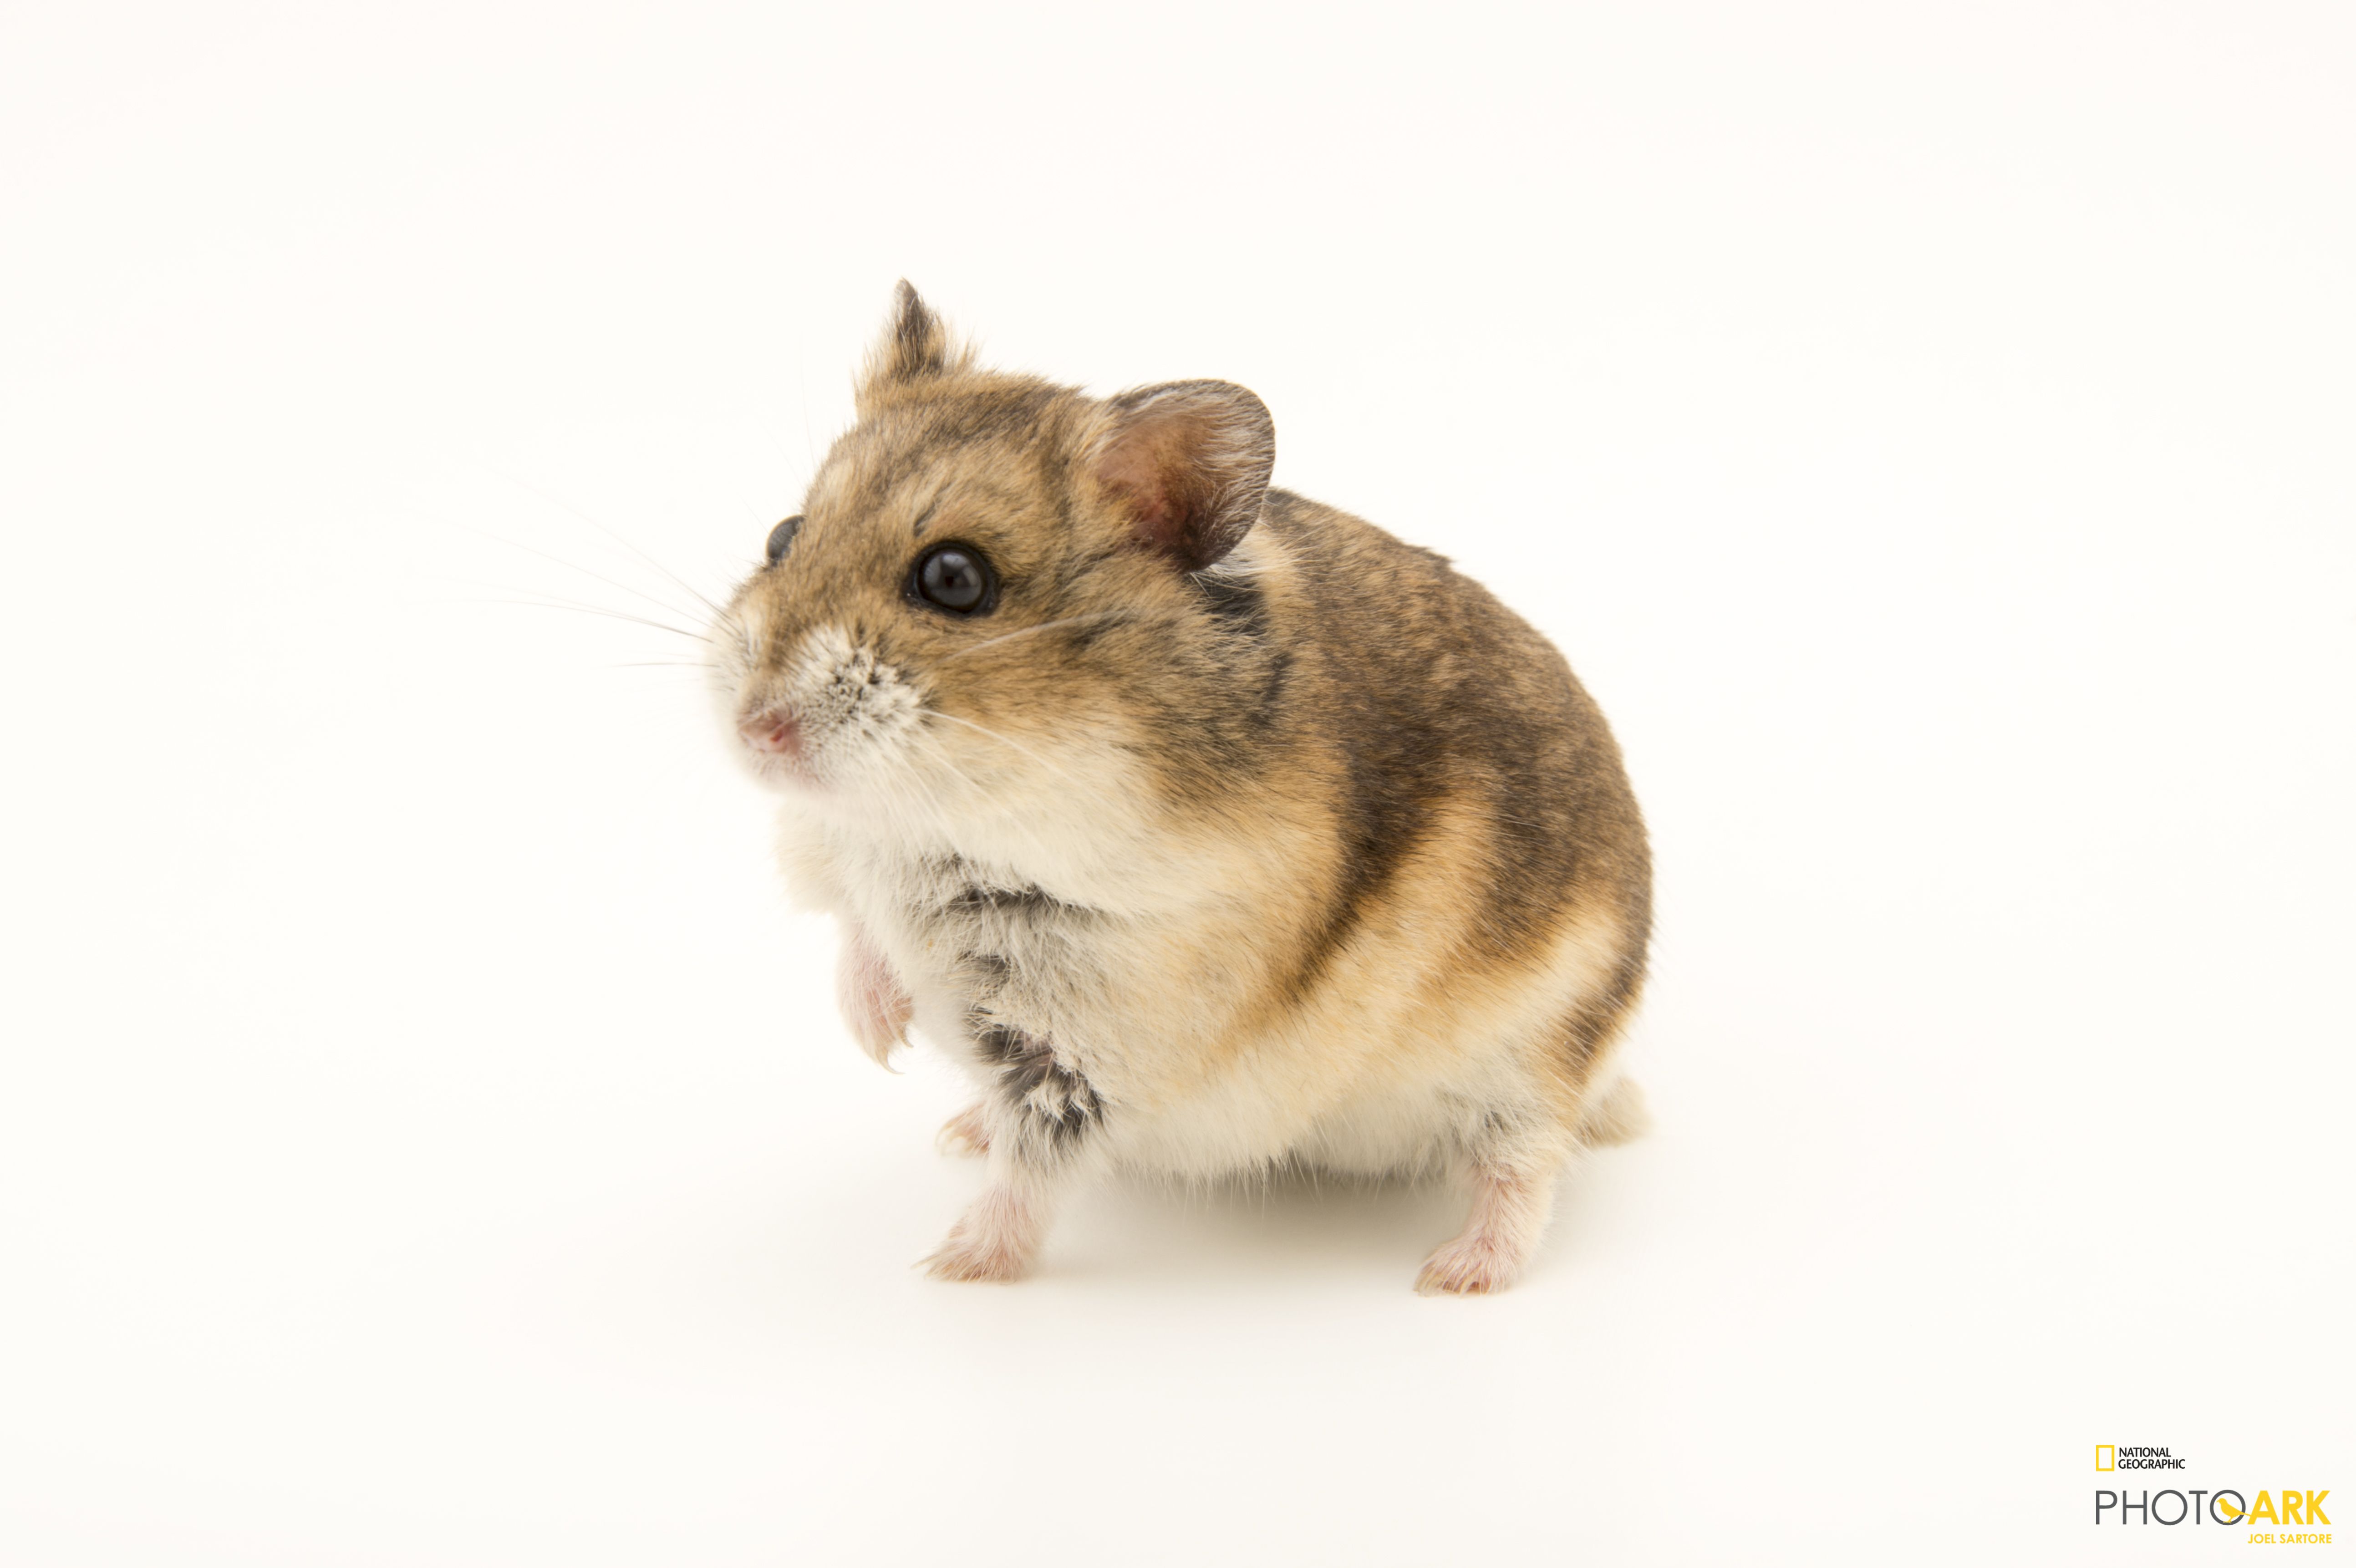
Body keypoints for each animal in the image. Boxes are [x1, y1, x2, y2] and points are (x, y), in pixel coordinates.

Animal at [707, 283, 1651, 1294]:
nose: (754, 732)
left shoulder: (1096, 1037)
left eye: (954, 579)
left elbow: (1035, 1168)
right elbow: (857, 927)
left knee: (1526, 1164)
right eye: (782, 537)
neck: (950, 822)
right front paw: (880, 1037)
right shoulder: (858, 862)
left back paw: (1460, 1272)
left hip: (1536, 1051)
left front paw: (951, 1267)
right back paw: (960, 1128)